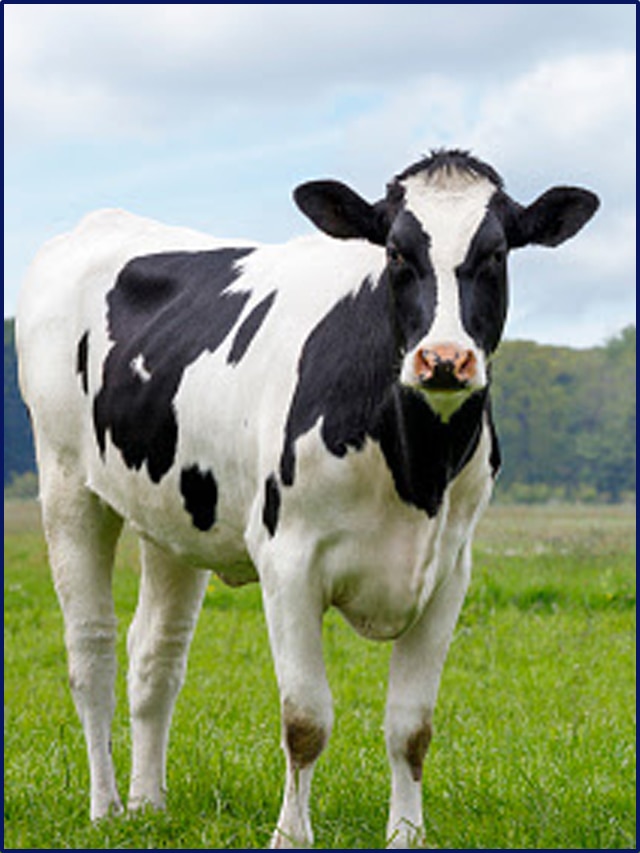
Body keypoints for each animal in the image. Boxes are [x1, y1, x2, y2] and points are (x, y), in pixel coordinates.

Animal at [16, 149, 598, 848]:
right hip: (67, 484)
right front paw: (291, 835)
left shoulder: (448, 572)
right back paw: (104, 808)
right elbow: (305, 719)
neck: (415, 466)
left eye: (495, 253)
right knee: (92, 649)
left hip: (171, 515)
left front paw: (407, 834)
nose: (443, 360)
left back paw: (147, 804)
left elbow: (412, 726)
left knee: (156, 653)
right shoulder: (288, 561)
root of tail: (101, 222)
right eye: (396, 252)